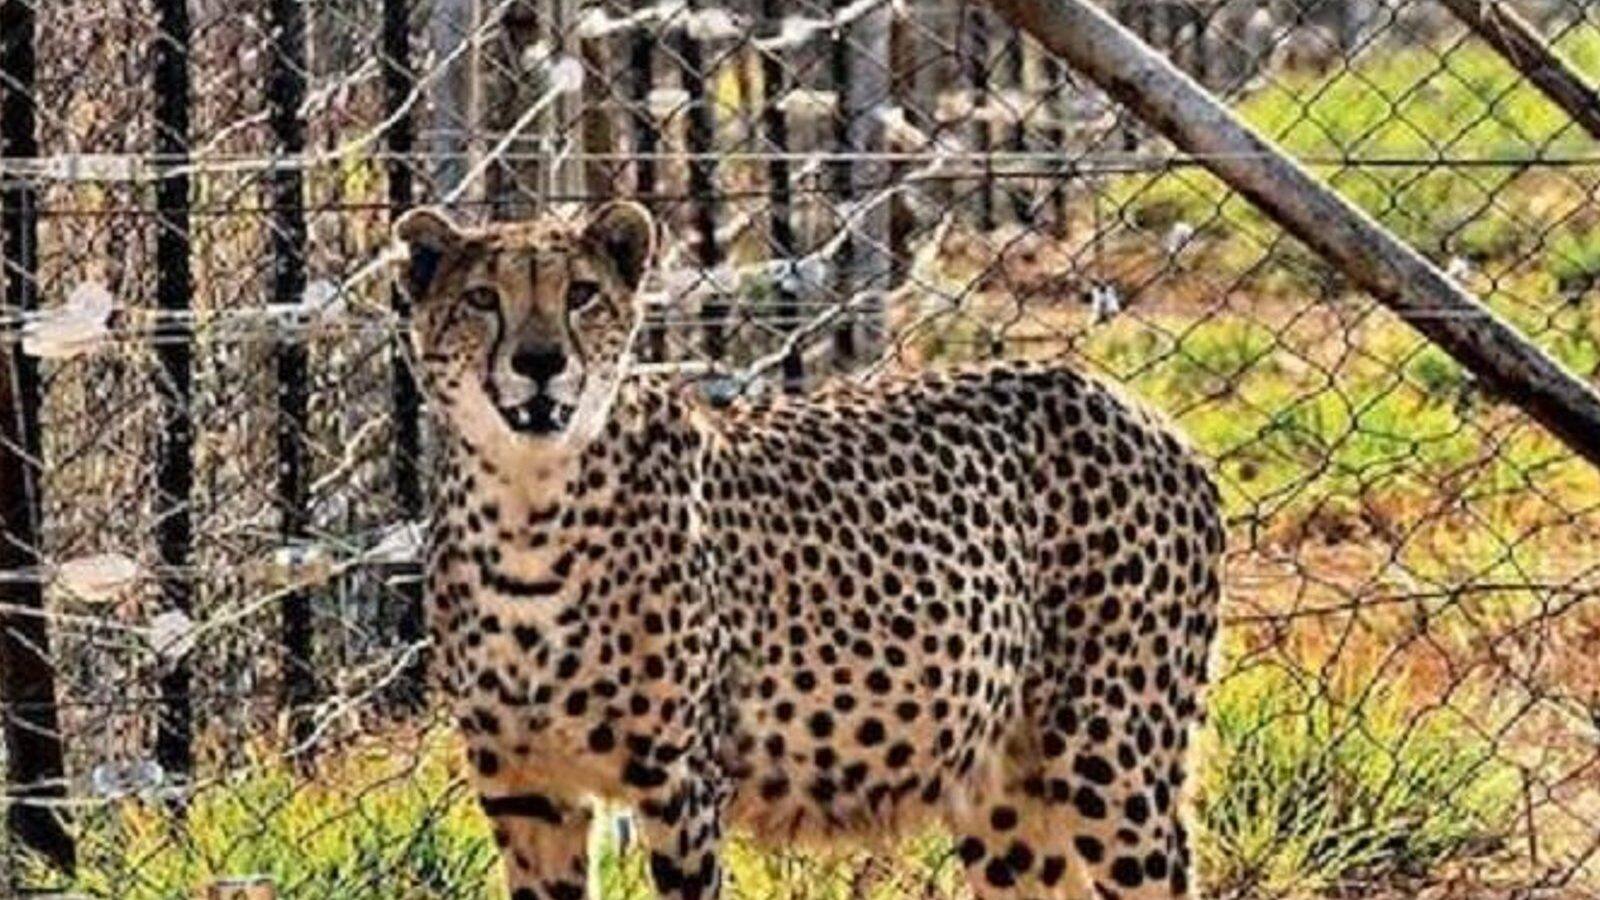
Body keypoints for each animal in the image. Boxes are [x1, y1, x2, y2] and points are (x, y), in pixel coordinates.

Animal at [393, 200, 1225, 900]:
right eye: (482, 300)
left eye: (581, 295)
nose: (539, 361)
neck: (527, 508)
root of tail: (1133, 406)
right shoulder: (527, 793)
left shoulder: (680, 785)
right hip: (1005, 792)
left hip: (1112, 756)